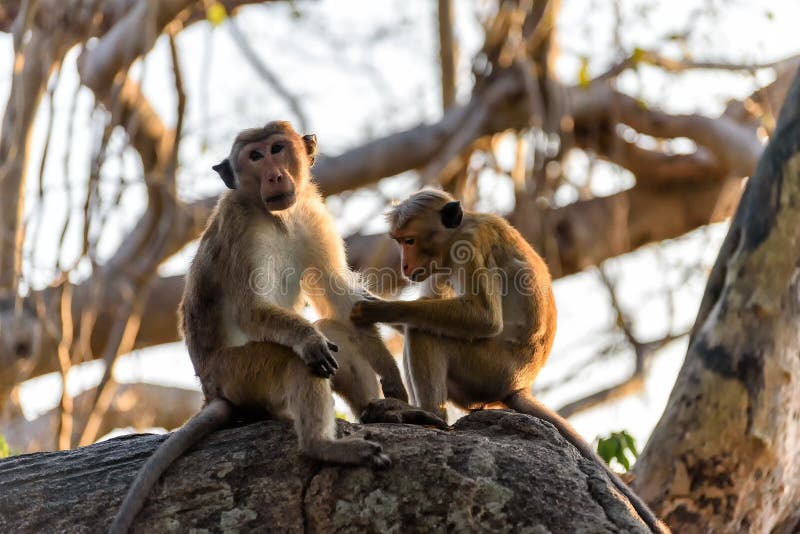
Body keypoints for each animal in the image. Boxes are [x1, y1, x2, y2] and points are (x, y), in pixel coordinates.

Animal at [110, 122, 443, 533]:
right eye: (255, 156)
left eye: (276, 149)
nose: (274, 174)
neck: (277, 218)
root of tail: (211, 391)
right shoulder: (239, 226)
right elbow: (252, 310)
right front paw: (307, 339)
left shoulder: (312, 214)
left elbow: (340, 300)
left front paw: (392, 378)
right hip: (239, 373)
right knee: (296, 361)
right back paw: (325, 446)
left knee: (334, 331)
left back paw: (379, 411)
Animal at [351, 189, 669, 534]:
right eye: (399, 242)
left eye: (409, 240)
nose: (404, 264)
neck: (460, 227)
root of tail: (518, 386)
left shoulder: (468, 247)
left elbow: (484, 318)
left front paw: (376, 308)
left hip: (488, 369)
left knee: (424, 332)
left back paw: (429, 415)